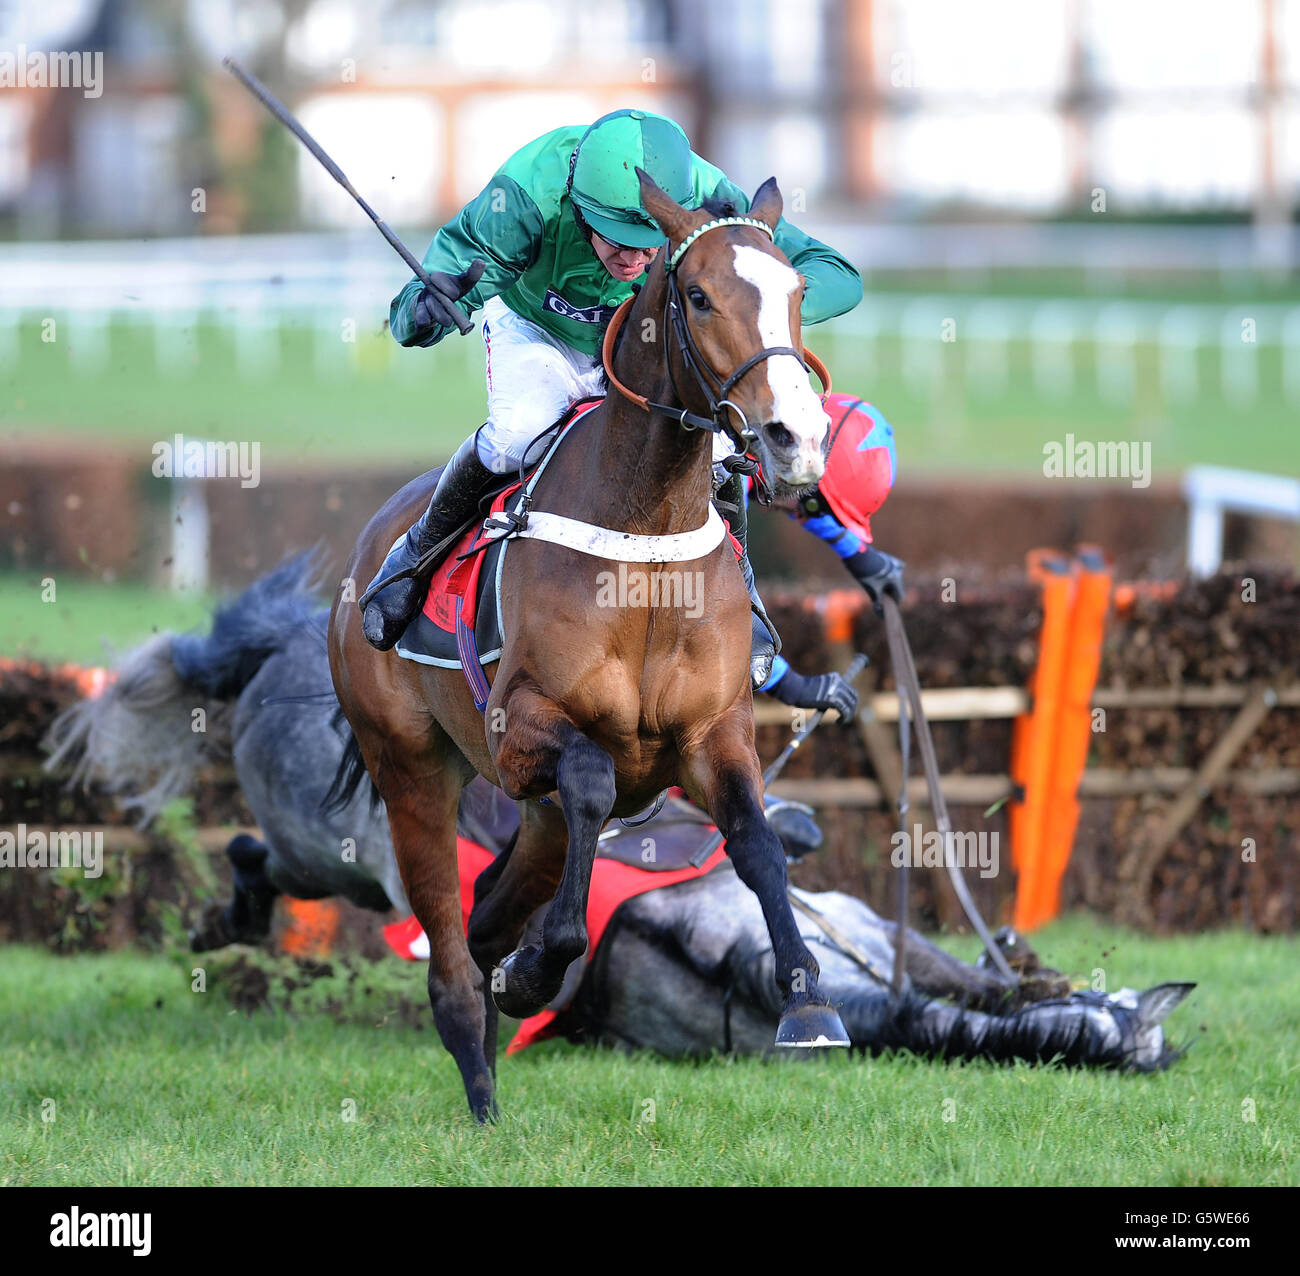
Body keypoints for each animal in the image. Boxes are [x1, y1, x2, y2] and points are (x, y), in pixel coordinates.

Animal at [43, 552, 1195, 1073]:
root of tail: (297, 643)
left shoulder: (875, 932)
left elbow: (970, 977)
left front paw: (1042, 978)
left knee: (262, 860)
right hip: (330, 843)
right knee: (263, 853)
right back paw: (230, 916)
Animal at [328, 172, 849, 1119]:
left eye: (796, 292)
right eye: (699, 295)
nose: (795, 438)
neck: (647, 535)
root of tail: (366, 552)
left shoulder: (714, 732)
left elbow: (756, 842)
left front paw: (807, 1000)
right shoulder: (523, 730)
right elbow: (593, 776)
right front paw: (542, 966)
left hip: (526, 817)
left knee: (488, 913)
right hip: (410, 767)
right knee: (452, 951)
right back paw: (483, 1090)